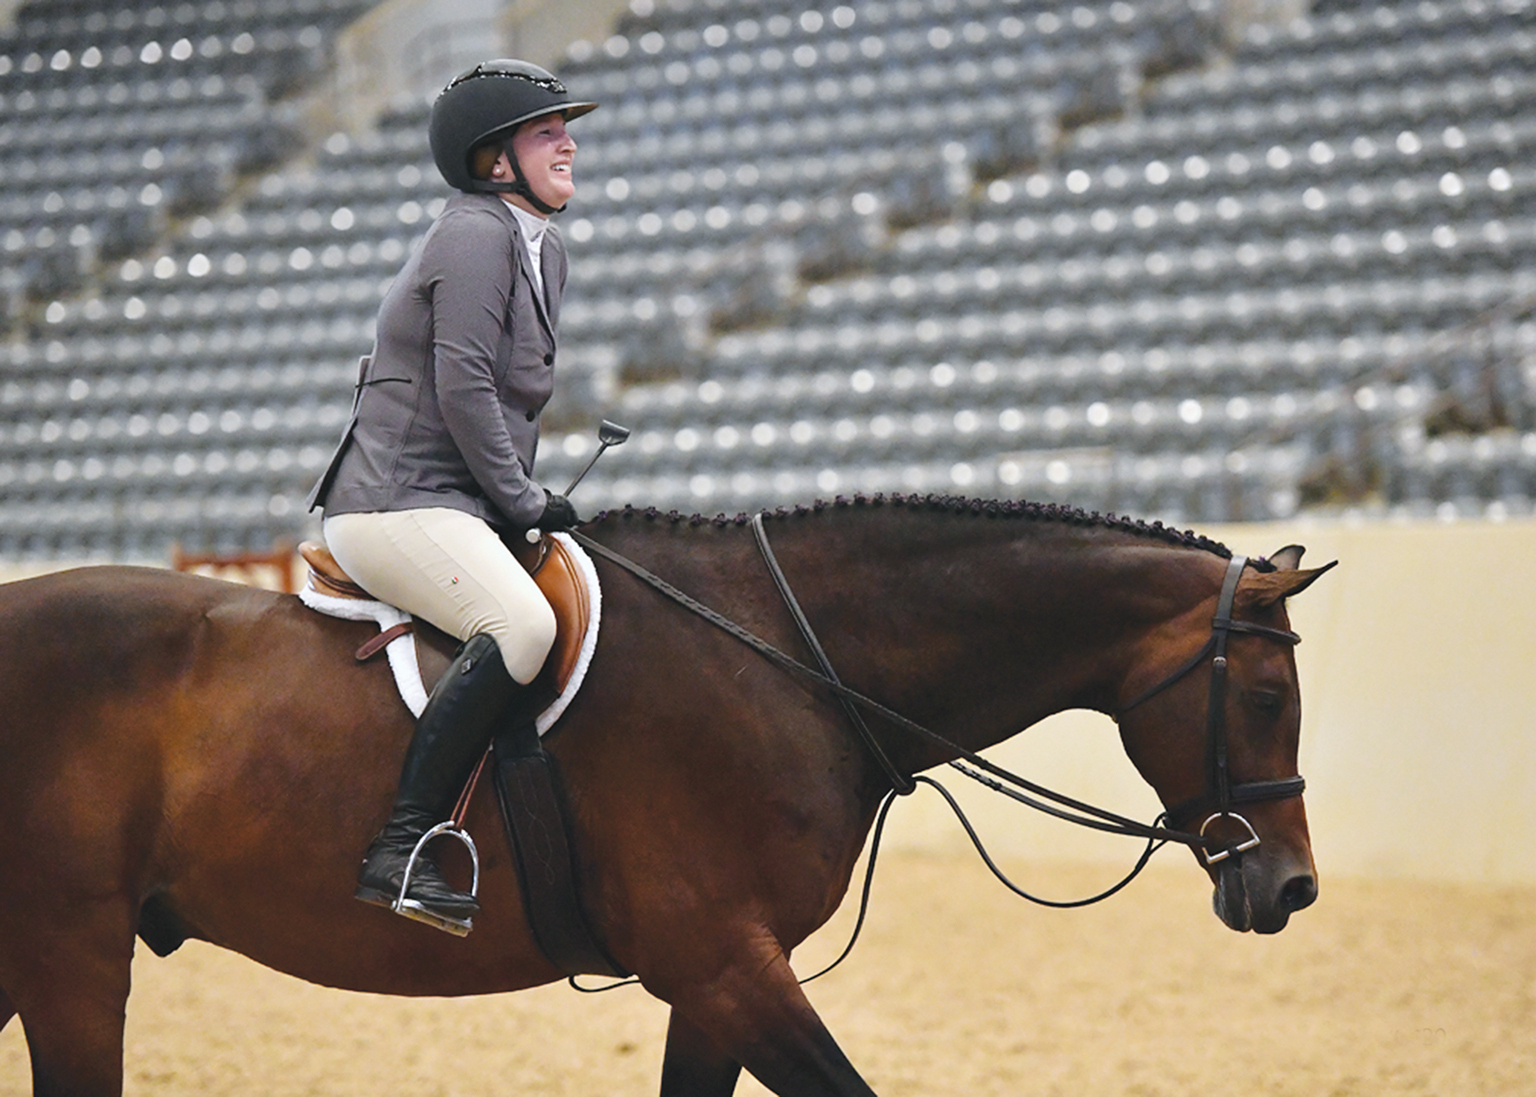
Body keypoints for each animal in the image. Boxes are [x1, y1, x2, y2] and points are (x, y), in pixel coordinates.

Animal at [0, 493, 1332, 1097]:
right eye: (1269, 694)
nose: (1291, 886)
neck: (787, 658)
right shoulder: (725, 959)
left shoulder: (719, 974)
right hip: (70, 953)